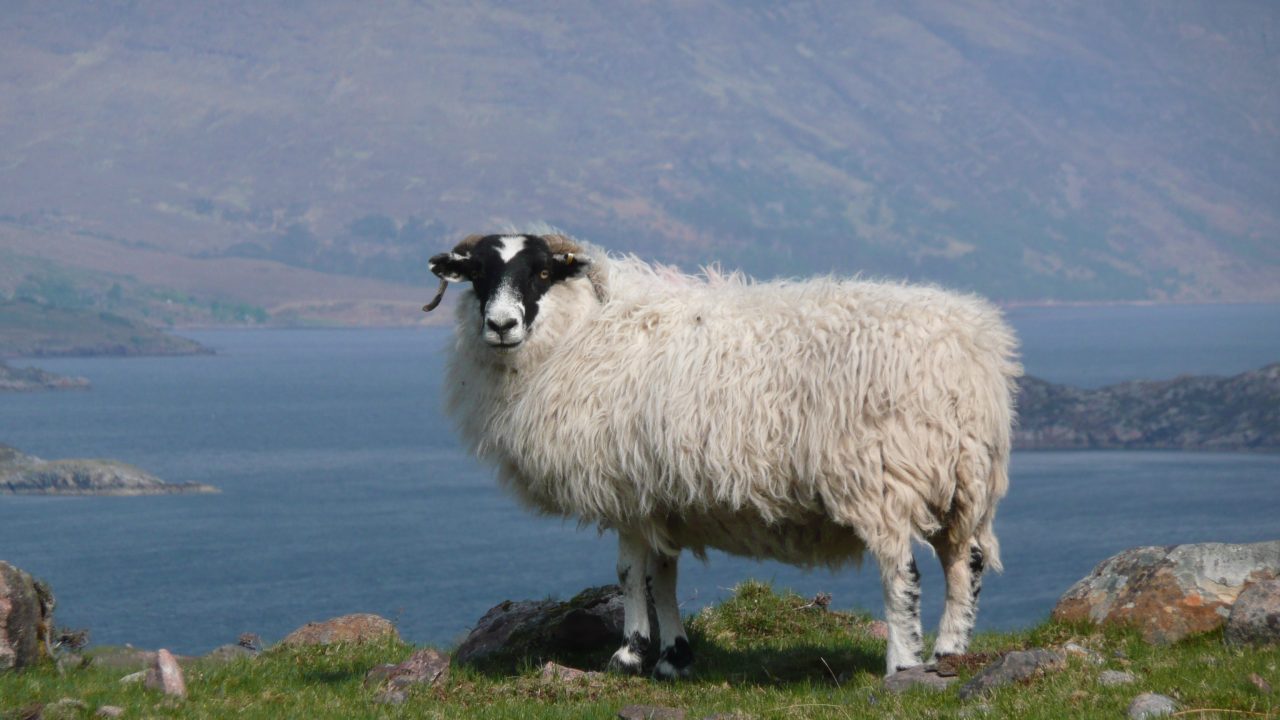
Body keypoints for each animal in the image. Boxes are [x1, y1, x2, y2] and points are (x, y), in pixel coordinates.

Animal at [426, 231, 1021, 679]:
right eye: (477, 274)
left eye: (543, 273)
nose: (501, 326)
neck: (579, 332)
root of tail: (967, 351)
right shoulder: (660, 493)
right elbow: (661, 574)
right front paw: (673, 658)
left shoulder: (625, 486)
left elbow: (628, 572)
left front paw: (629, 654)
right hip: (963, 479)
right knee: (964, 560)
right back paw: (949, 652)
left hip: (883, 475)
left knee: (903, 572)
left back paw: (902, 664)